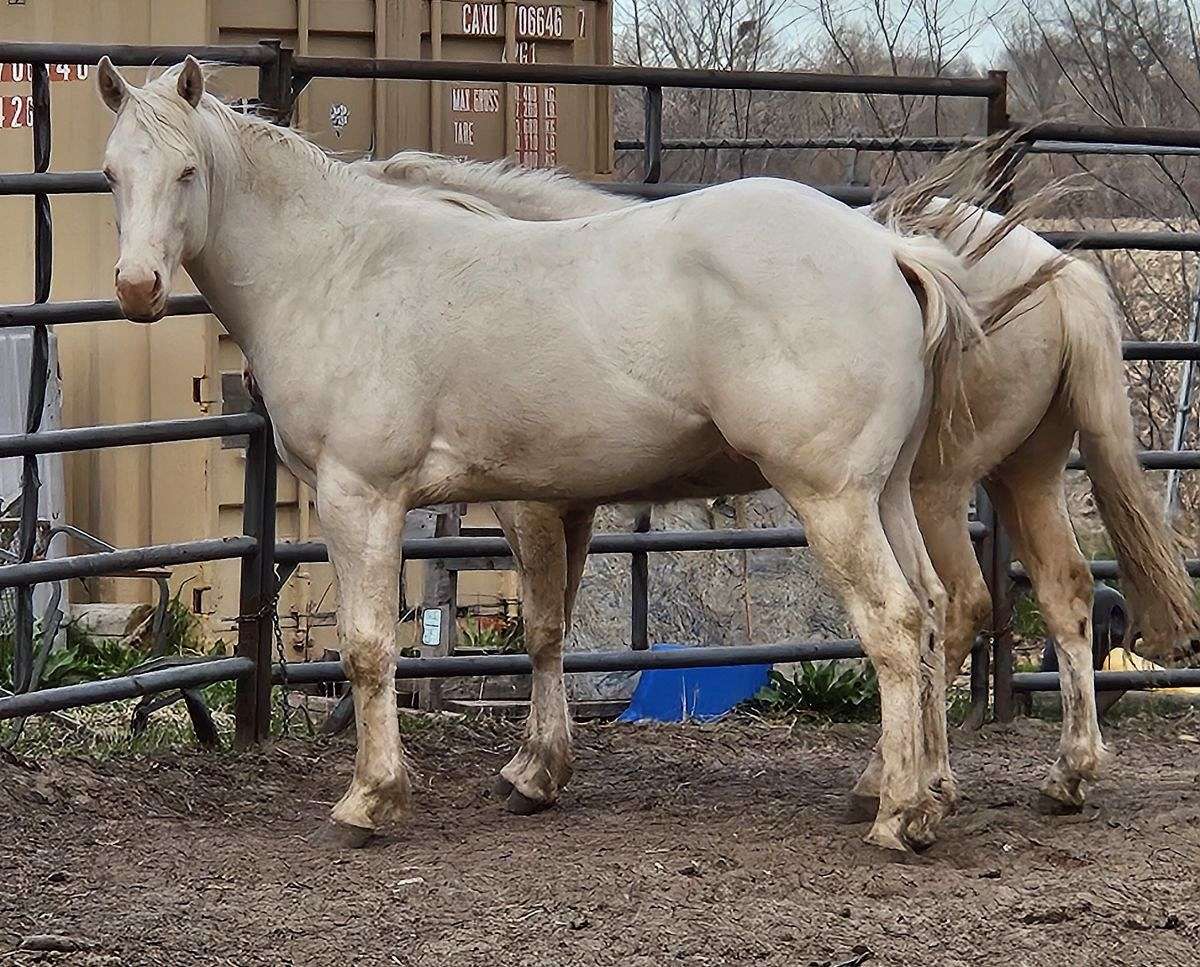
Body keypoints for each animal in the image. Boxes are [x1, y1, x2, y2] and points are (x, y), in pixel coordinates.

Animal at [96, 56, 1000, 852]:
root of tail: (886, 250)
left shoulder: (363, 498)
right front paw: (533, 772)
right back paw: (912, 789)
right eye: (111, 174)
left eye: (187, 171)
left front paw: (371, 797)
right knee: (929, 613)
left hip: (833, 499)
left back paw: (901, 814)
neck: (338, 269)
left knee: (893, 624)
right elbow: (542, 627)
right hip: (885, 494)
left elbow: (369, 647)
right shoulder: (535, 499)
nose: (137, 287)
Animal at [356, 147, 1199, 818]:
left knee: (952, 606)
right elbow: (555, 618)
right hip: (1024, 477)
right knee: (1059, 593)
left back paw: (899, 778)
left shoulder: (529, 505)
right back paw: (1063, 773)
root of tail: (1055, 273)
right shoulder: (575, 505)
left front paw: (532, 769)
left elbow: (541, 629)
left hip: (931, 489)